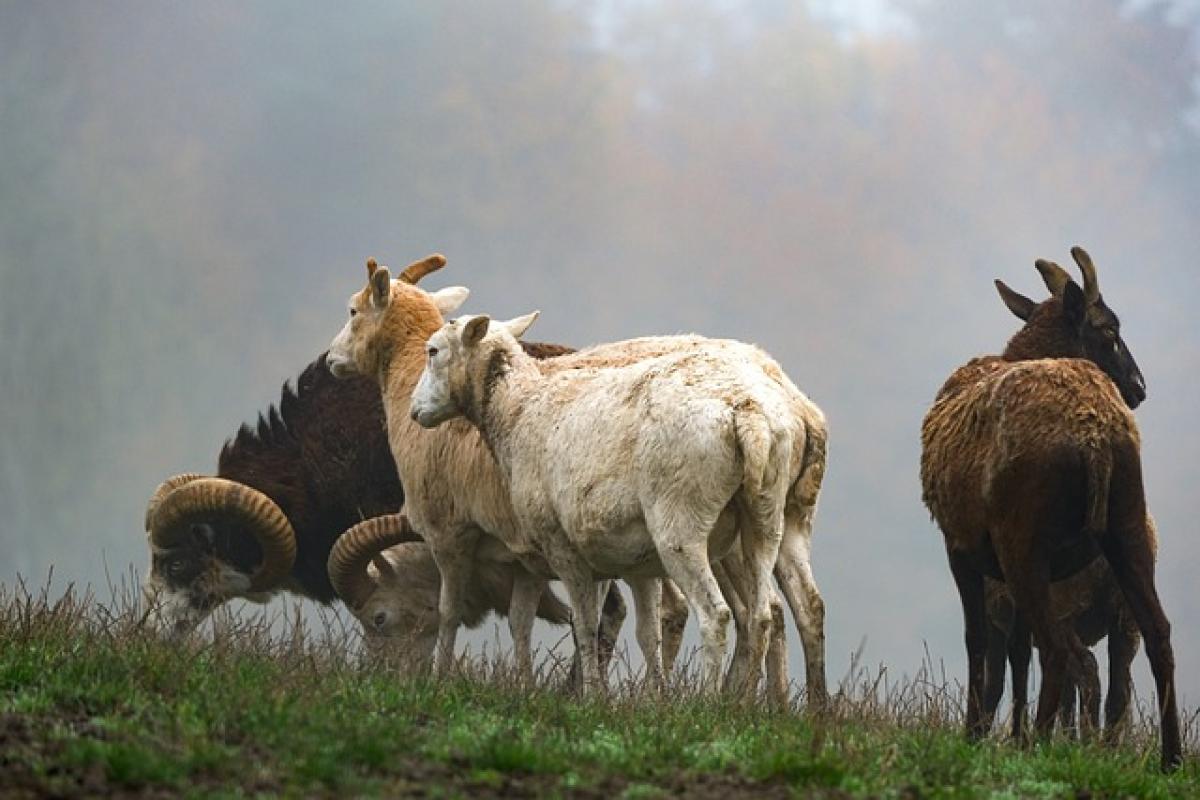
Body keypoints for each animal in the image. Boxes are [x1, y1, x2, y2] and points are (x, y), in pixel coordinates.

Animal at [916, 248, 1180, 767]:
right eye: (1109, 330)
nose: (1139, 387)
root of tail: (1097, 437)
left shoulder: (959, 545)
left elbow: (980, 644)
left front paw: (977, 735)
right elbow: (1017, 651)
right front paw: (1008, 734)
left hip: (1024, 541)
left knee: (1061, 653)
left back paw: (1039, 743)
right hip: (1126, 525)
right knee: (1157, 634)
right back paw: (1171, 758)